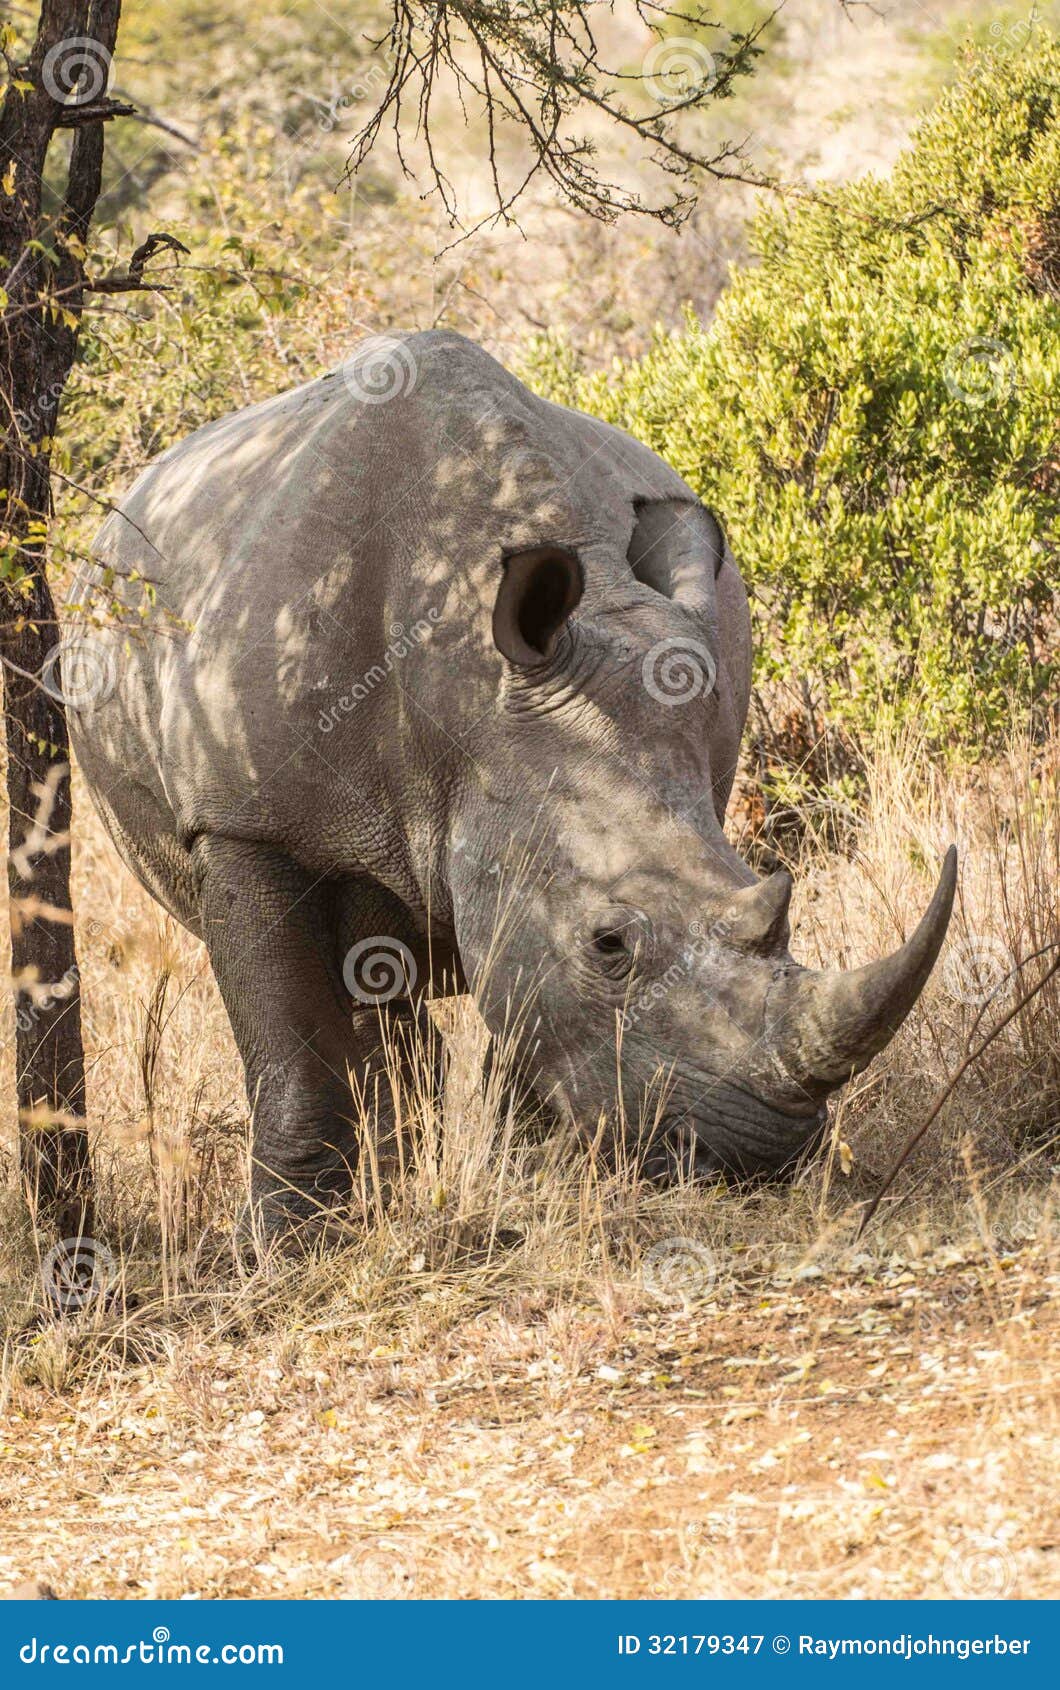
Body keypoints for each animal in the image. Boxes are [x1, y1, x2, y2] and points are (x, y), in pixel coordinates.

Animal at [69, 330, 955, 1236]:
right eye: (609, 945)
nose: (763, 1154)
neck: (463, 694)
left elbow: (526, 1014)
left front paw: (531, 1184)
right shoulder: (240, 822)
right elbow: (290, 1048)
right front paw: (281, 1246)